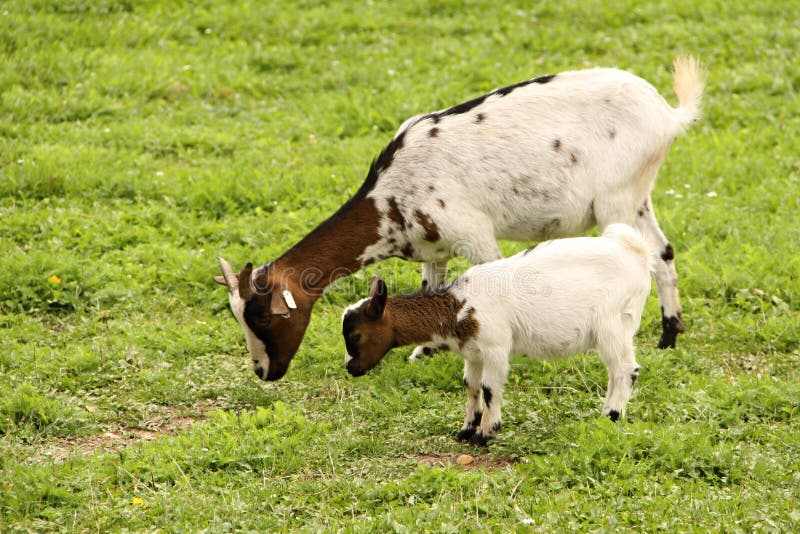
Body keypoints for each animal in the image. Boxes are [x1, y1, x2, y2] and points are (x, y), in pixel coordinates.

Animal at [215, 57, 704, 382]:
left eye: (263, 319)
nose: (263, 372)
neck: (391, 195)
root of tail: (667, 114)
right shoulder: (434, 248)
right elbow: (430, 289)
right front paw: (424, 351)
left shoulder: (476, 237)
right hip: (638, 197)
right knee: (662, 253)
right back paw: (669, 337)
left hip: (615, 201)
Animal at [342, 224, 654, 445]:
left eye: (355, 335)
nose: (350, 368)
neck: (459, 305)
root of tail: (636, 252)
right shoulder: (473, 353)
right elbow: (471, 386)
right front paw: (467, 429)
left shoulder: (495, 348)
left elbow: (490, 389)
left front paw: (485, 433)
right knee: (616, 370)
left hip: (613, 321)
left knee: (625, 368)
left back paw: (611, 416)